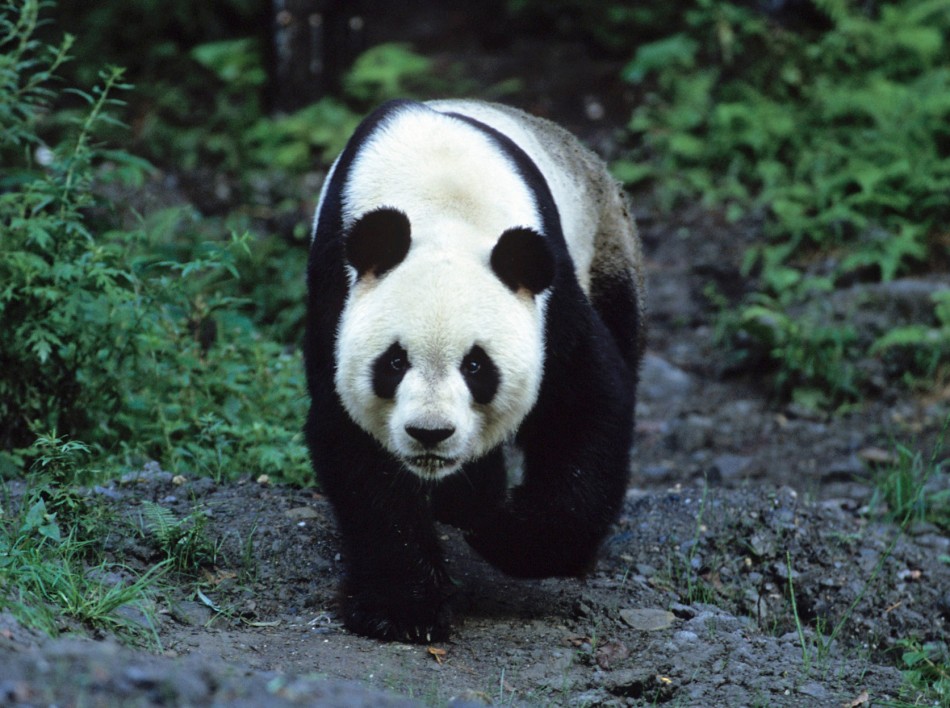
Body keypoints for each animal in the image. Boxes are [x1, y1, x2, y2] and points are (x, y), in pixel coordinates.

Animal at [305, 98, 645, 643]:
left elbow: (586, 406)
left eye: (476, 365)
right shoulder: (336, 293)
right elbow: (354, 440)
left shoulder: (552, 301)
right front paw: (401, 607)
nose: (429, 433)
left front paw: (506, 535)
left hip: (607, 244)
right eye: (394, 362)